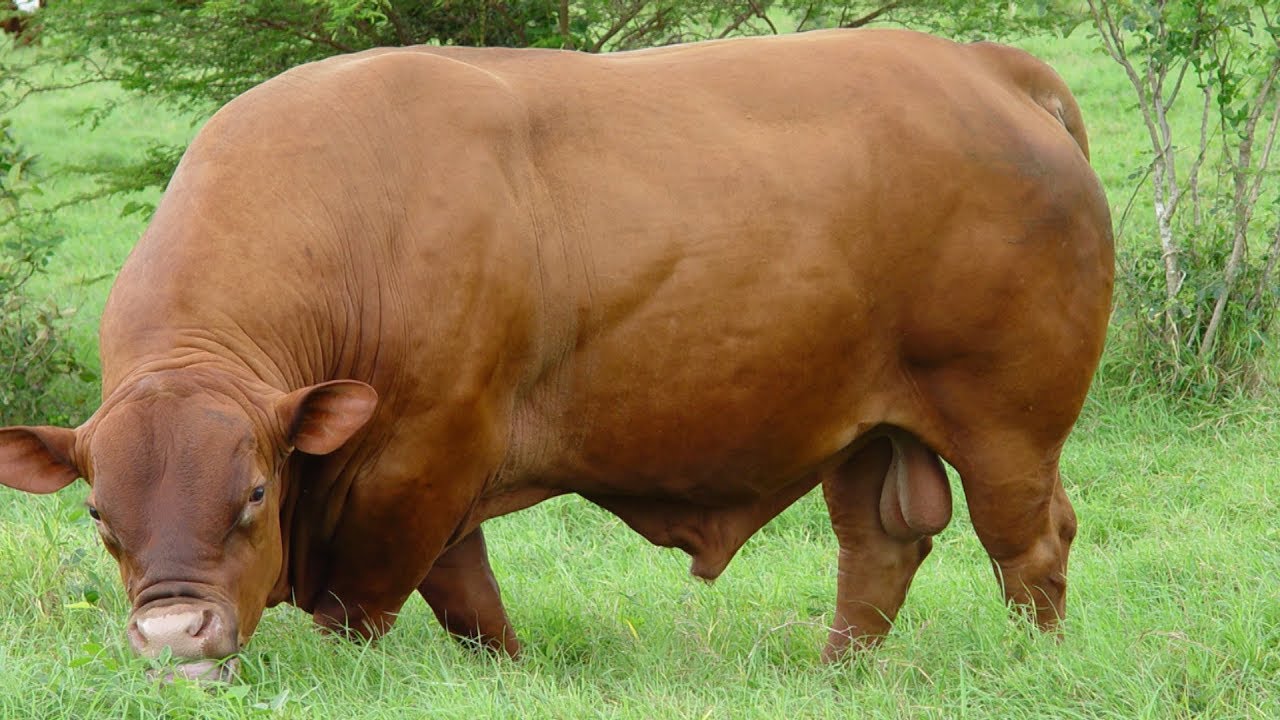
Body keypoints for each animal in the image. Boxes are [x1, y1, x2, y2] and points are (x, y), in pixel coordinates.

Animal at [0, 28, 1113, 680]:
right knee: (878, 547)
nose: (172, 637)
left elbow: (363, 607)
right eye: (99, 514)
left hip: (1006, 426)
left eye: (255, 496)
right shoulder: (433, 475)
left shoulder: (416, 460)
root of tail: (984, 64)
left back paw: (1034, 670)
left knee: (1030, 546)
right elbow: (468, 597)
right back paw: (833, 674)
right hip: (866, 427)